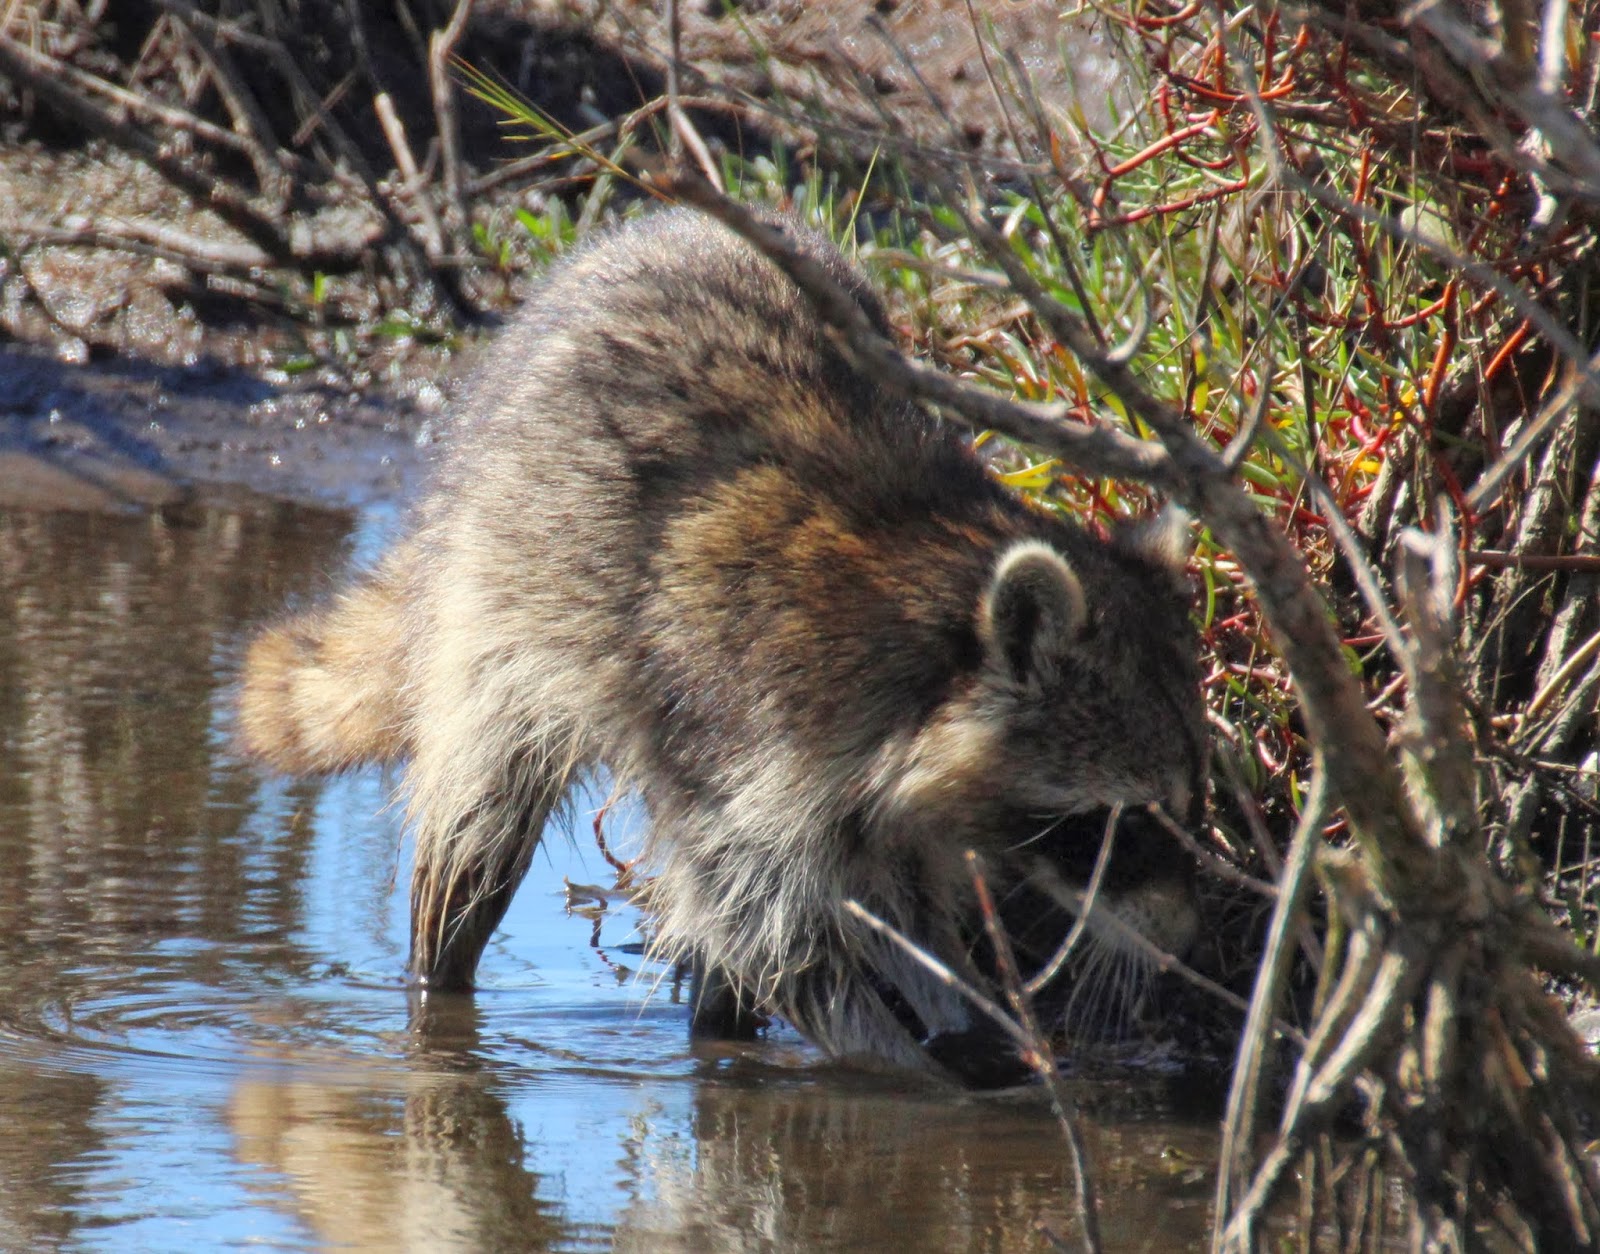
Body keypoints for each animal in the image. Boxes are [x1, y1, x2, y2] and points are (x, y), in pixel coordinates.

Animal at [238, 209, 1207, 1086]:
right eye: (1122, 823)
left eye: (1187, 810)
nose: (1180, 941)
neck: (929, 597)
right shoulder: (742, 727)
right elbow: (771, 929)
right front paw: (916, 1072)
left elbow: (896, 902)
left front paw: (977, 1015)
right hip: (503, 600)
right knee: (479, 826)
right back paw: (441, 996)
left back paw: (718, 1027)